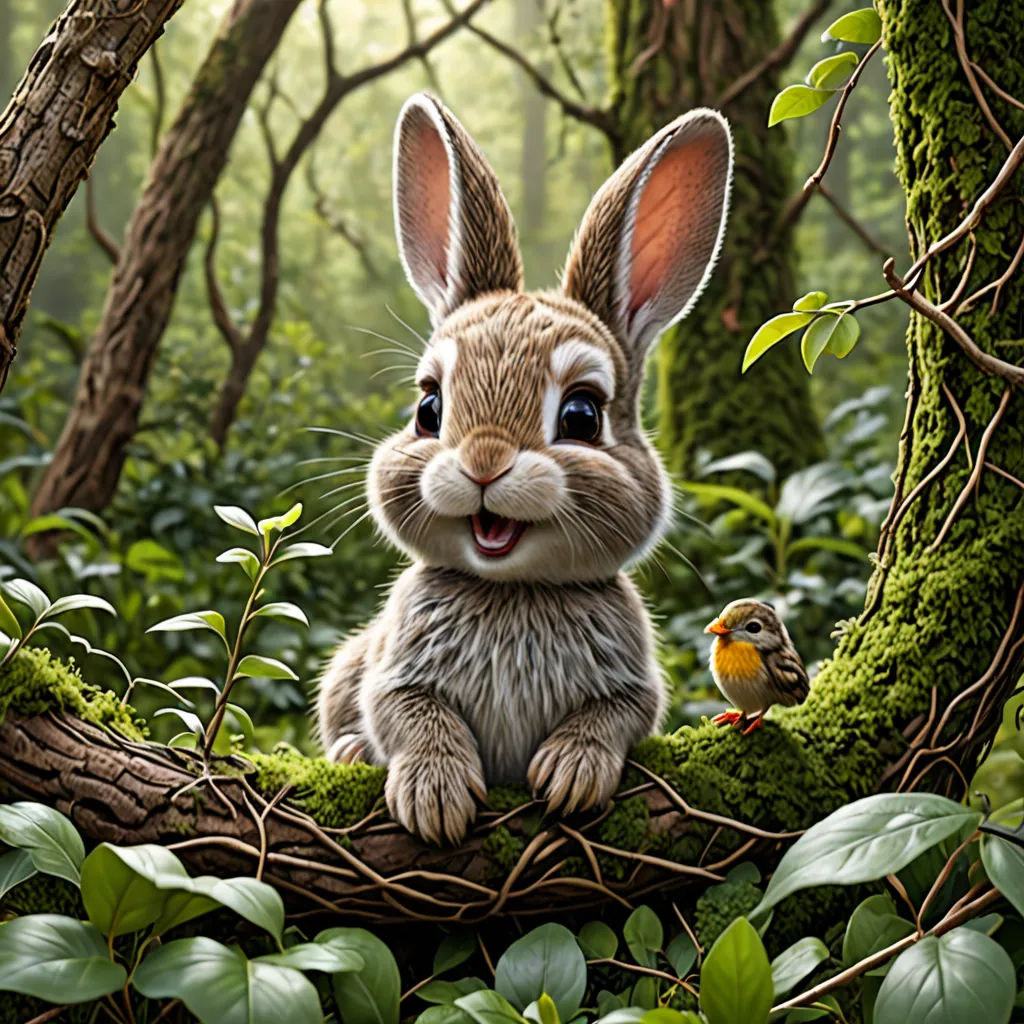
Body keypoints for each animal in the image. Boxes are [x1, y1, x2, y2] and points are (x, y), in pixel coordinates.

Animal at [317, 92, 733, 845]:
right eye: (428, 407)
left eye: (583, 415)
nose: (484, 463)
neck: (513, 590)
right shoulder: (392, 675)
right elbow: (412, 715)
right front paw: (435, 795)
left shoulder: (632, 690)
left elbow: (613, 718)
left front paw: (570, 774)